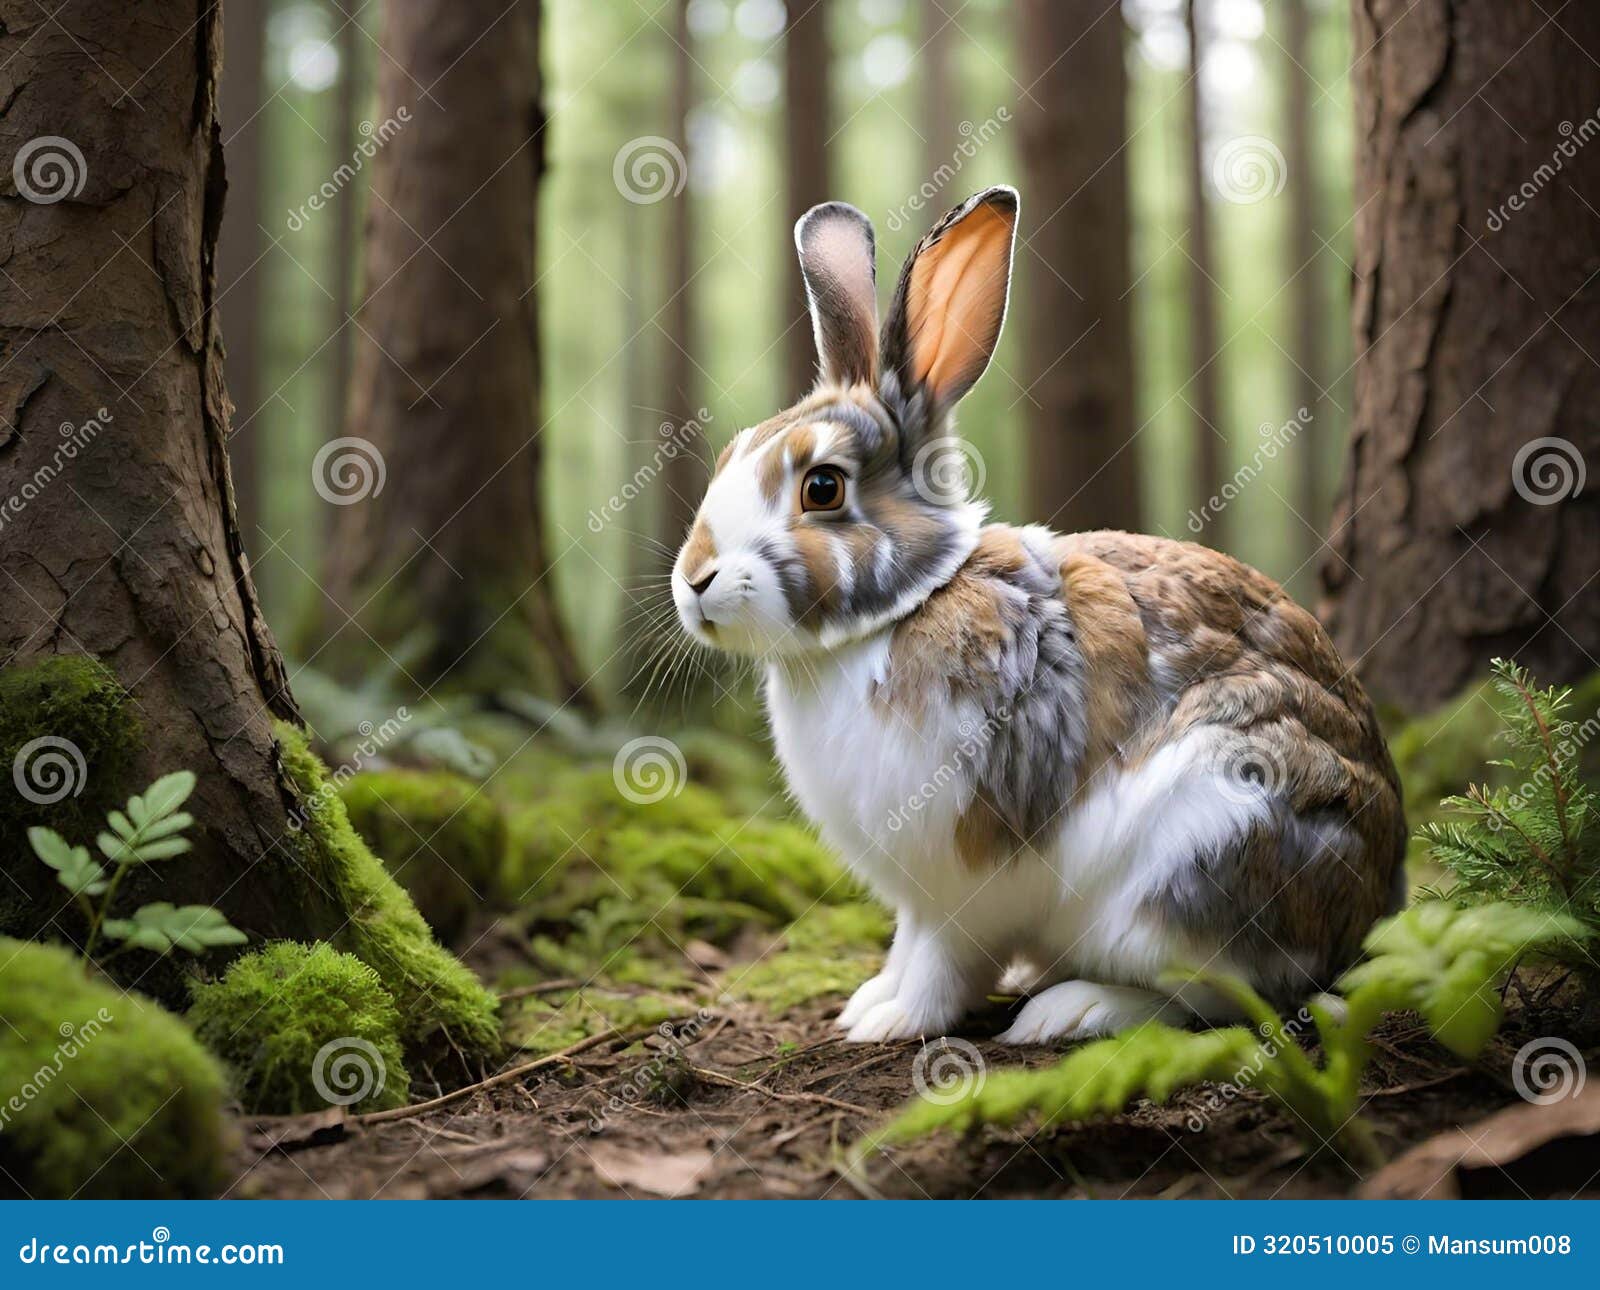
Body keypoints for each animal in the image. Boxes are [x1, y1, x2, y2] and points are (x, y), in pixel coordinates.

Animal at [670, 186, 1406, 1043]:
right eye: (732, 452)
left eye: (822, 487)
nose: (694, 581)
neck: (906, 607)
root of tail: (1370, 909)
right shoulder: (916, 899)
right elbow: (904, 944)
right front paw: (868, 1001)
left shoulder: (962, 880)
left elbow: (943, 961)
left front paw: (894, 1022)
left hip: (1205, 844)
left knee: (1225, 996)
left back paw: (1070, 1009)